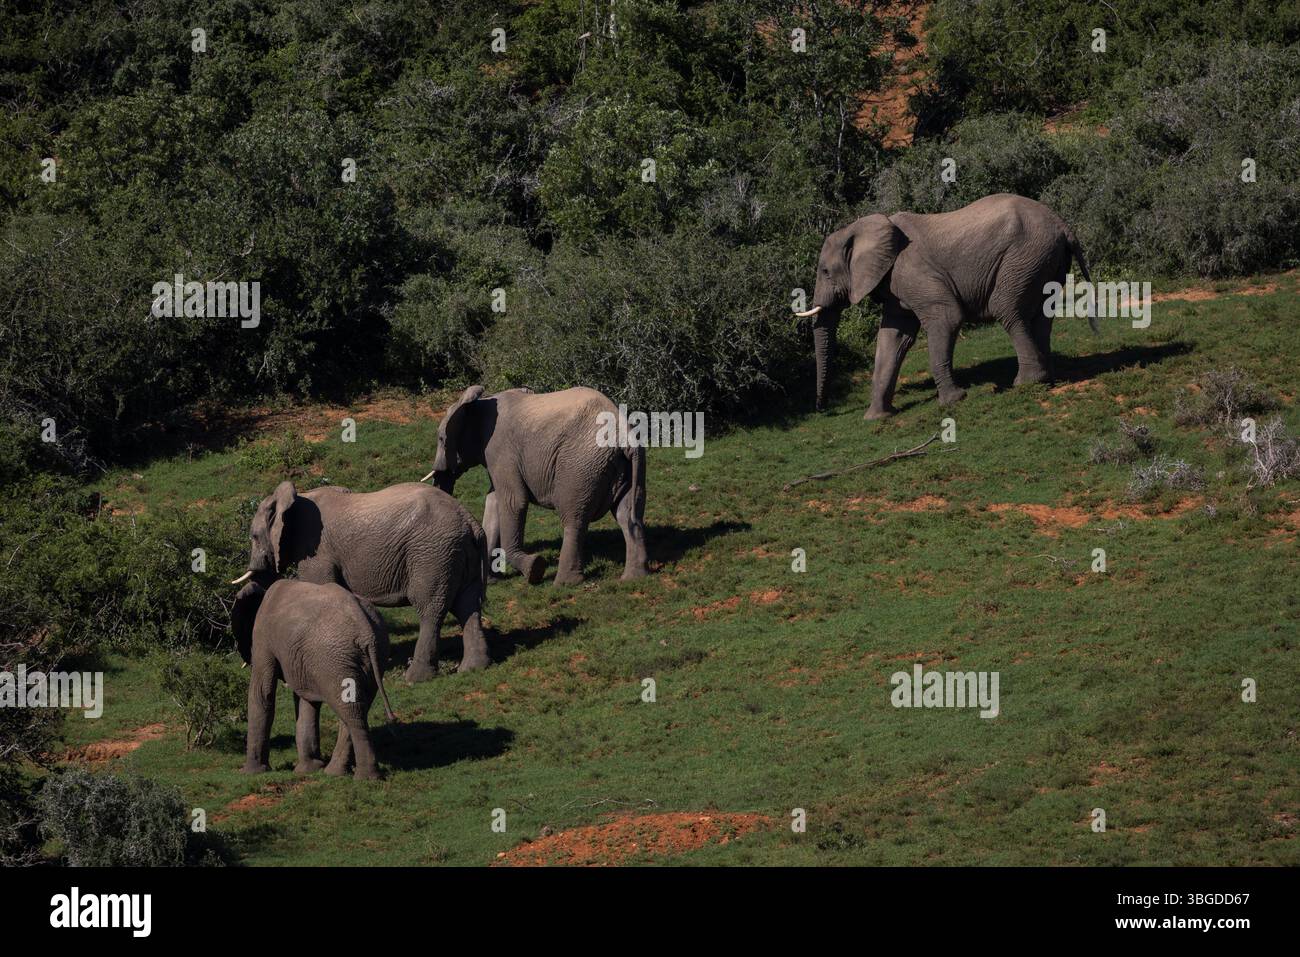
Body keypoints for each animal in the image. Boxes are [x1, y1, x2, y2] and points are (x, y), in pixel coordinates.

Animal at [230, 480, 489, 684]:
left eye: (254, 536)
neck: (296, 497)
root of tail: (471, 522)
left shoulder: (316, 552)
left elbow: (321, 587)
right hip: (455, 553)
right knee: (468, 605)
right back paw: (473, 669)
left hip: (432, 554)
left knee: (430, 608)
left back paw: (415, 679)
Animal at [231, 579, 395, 780]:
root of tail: (366, 630)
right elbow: (307, 702)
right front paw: (309, 770)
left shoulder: (263, 636)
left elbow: (262, 693)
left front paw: (250, 772)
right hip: (371, 654)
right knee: (355, 709)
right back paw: (337, 773)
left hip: (334, 658)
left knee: (351, 712)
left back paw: (364, 778)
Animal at [421, 385, 649, 586]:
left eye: (440, 439)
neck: (480, 401)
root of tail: (625, 435)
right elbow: (494, 502)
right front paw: (493, 581)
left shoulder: (500, 449)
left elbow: (514, 502)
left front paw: (535, 569)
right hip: (627, 467)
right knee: (628, 514)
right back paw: (633, 578)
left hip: (581, 465)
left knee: (573, 517)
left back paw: (564, 584)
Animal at [796, 193, 1095, 419]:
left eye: (825, 272)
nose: (822, 410)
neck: (863, 227)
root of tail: (1063, 225)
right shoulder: (895, 284)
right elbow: (893, 338)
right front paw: (876, 418)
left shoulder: (913, 271)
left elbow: (946, 317)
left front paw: (953, 400)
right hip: (1044, 260)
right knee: (1042, 315)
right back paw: (1048, 378)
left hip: (1024, 257)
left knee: (1007, 309)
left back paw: (1027, 382)